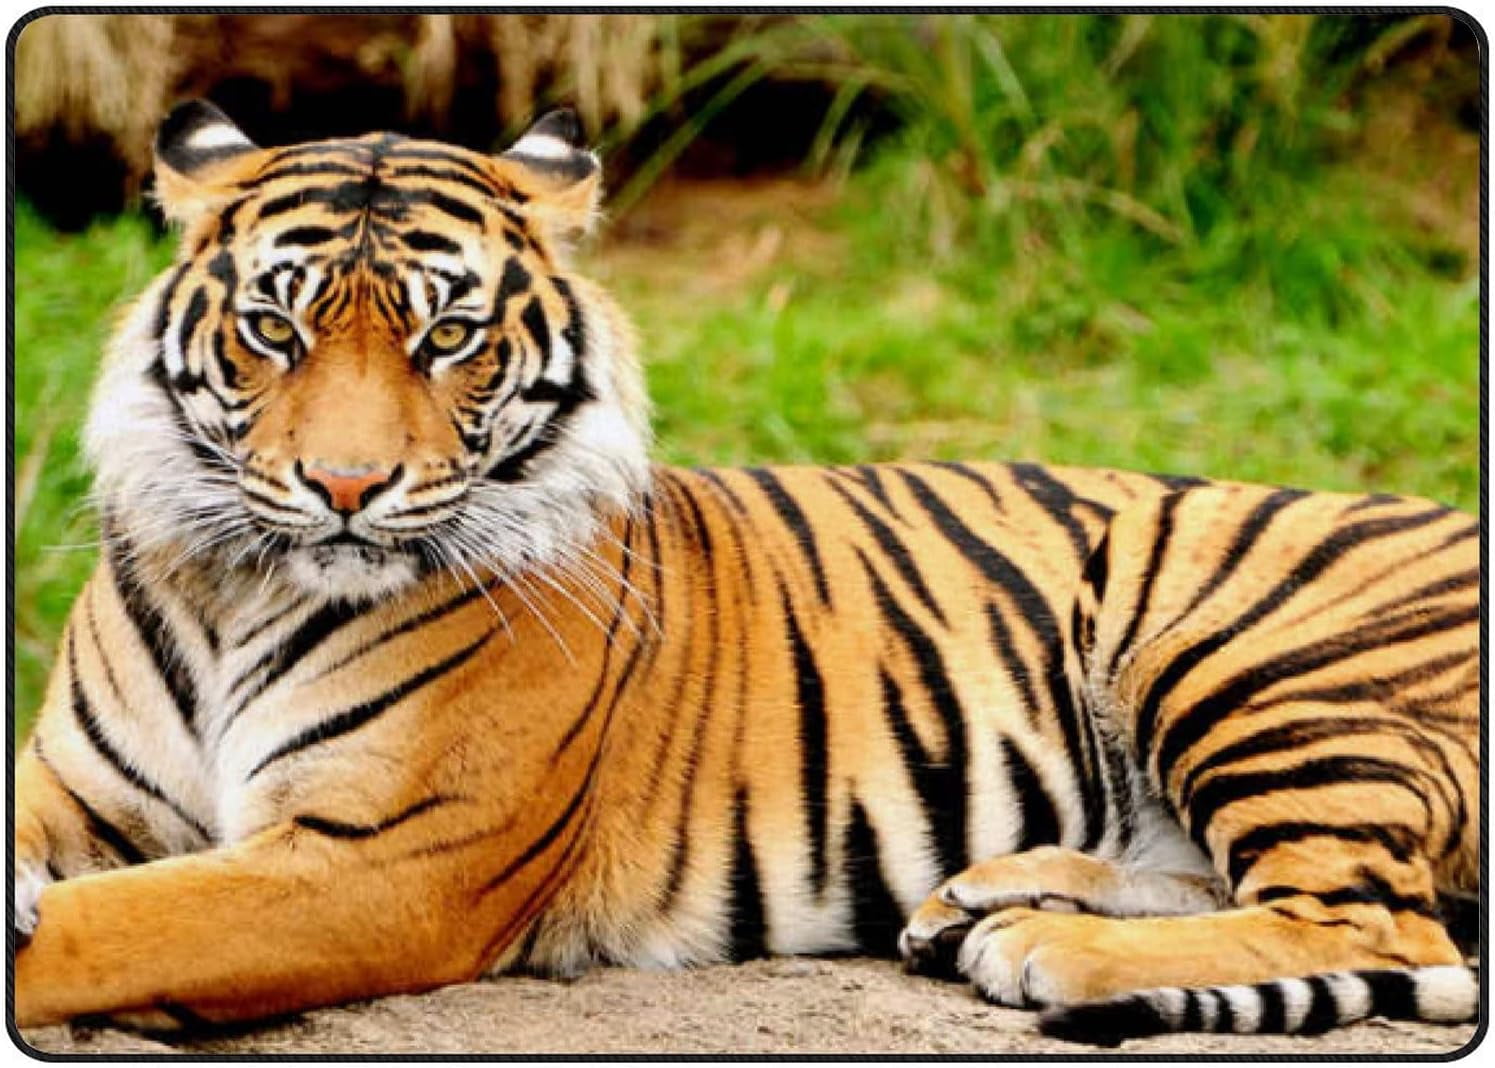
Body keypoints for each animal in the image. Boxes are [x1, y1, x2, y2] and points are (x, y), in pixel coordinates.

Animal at [11, 100, 1480, 1047]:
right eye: (274, 329)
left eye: (450, 339)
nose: (347, 488)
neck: (237, 585)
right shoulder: (76, 792)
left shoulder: (377, 861)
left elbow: (108, 927)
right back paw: (986, 896)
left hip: (1234, 654)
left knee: (1376, 924)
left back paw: (1044, 946)